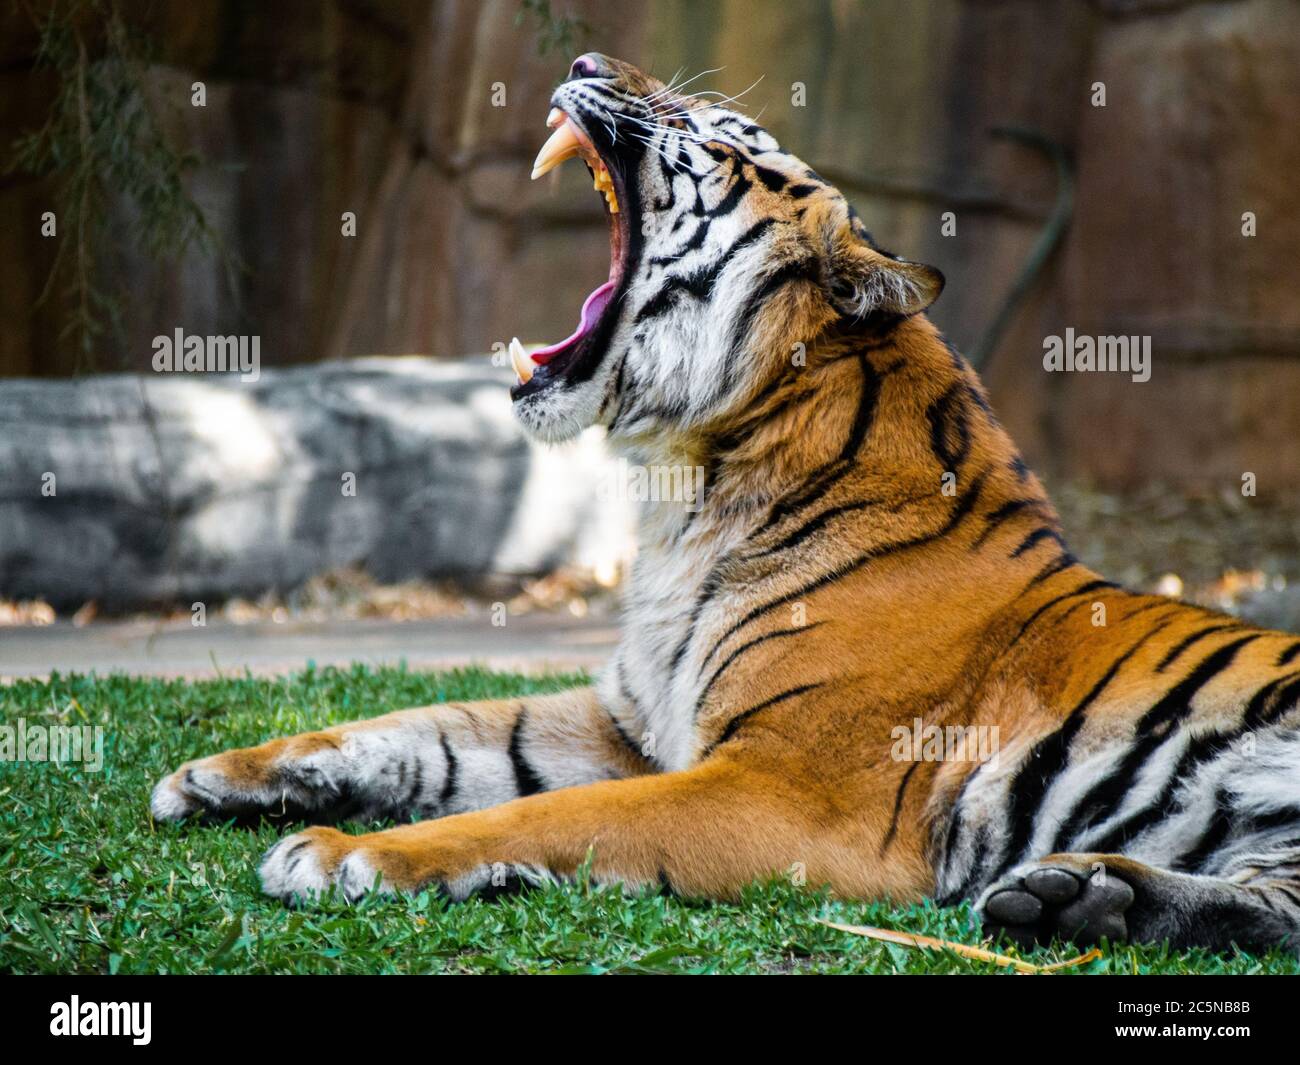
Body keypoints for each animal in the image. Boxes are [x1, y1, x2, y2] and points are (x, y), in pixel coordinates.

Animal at [152, 53, 1300, 955]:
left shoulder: (784, 788)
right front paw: (220, 773)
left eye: (719, 137)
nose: (583, 55)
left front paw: (341, 853)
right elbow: (424, 726)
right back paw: (1079, 897)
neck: (689, 495)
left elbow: (549, 816)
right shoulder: (628, 719)